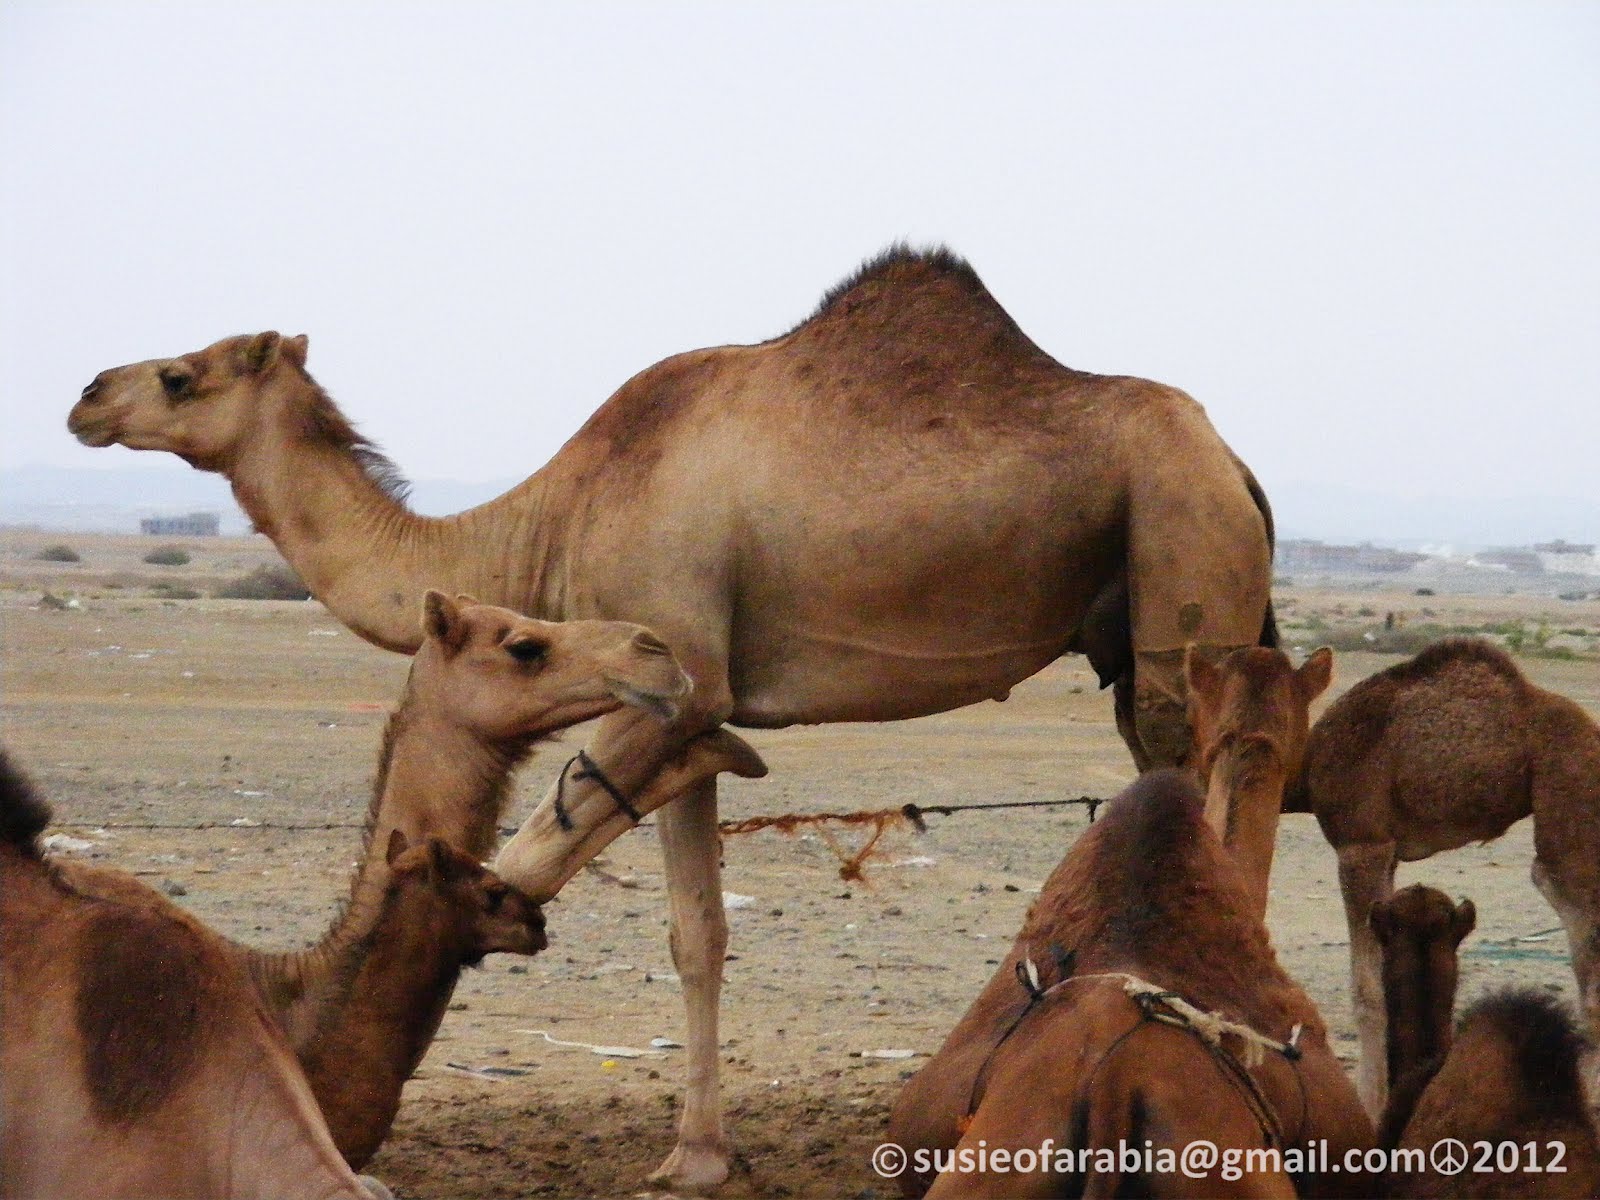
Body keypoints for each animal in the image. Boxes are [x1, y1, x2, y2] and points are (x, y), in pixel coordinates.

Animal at [69, 245, 1279, 1189]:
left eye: (179, 374)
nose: (86, 394)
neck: (540, 522)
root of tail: (1240, 466)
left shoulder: (675, 664)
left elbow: (538, 846)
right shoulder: (686, 696)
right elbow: (695, 931)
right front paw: (698, 1156)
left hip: (1181, 560)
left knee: (1214, 785)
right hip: (1134, 617)